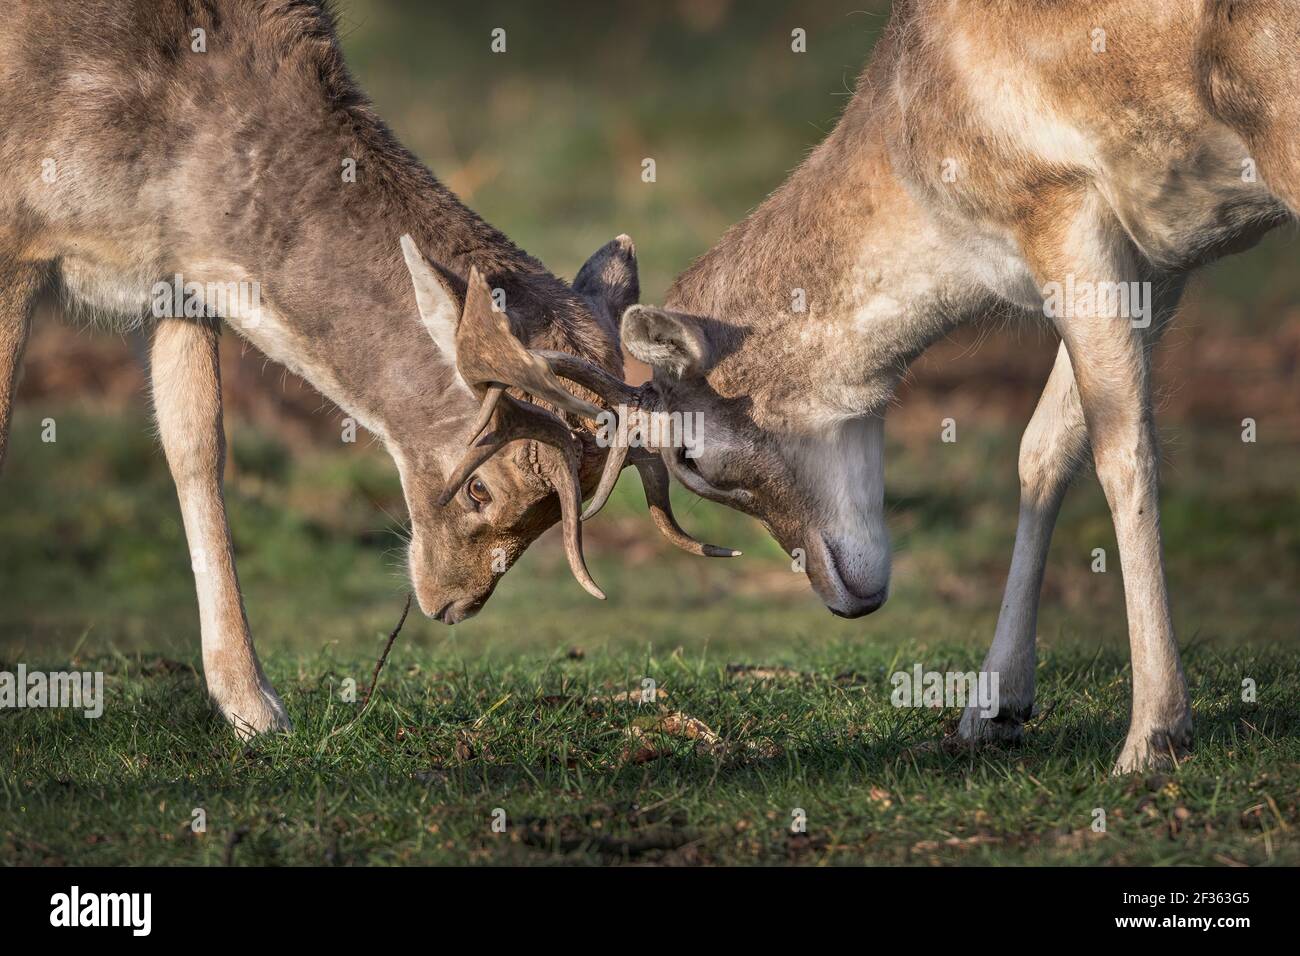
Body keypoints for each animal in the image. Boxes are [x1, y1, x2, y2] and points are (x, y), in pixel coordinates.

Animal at [0, 0, 731, 738]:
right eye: (479, 488)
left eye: (556, 510)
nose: (452, 604)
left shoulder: (173, 281)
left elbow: (197, 446)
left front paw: (254, 707)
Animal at [599, 0, 1298, 772]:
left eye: (688, 457)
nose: (841, 600)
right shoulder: (1160, 255)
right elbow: (1043, 447)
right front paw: (991, 710)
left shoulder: (1059, 207)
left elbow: (1122, 451)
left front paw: (1152, 737)